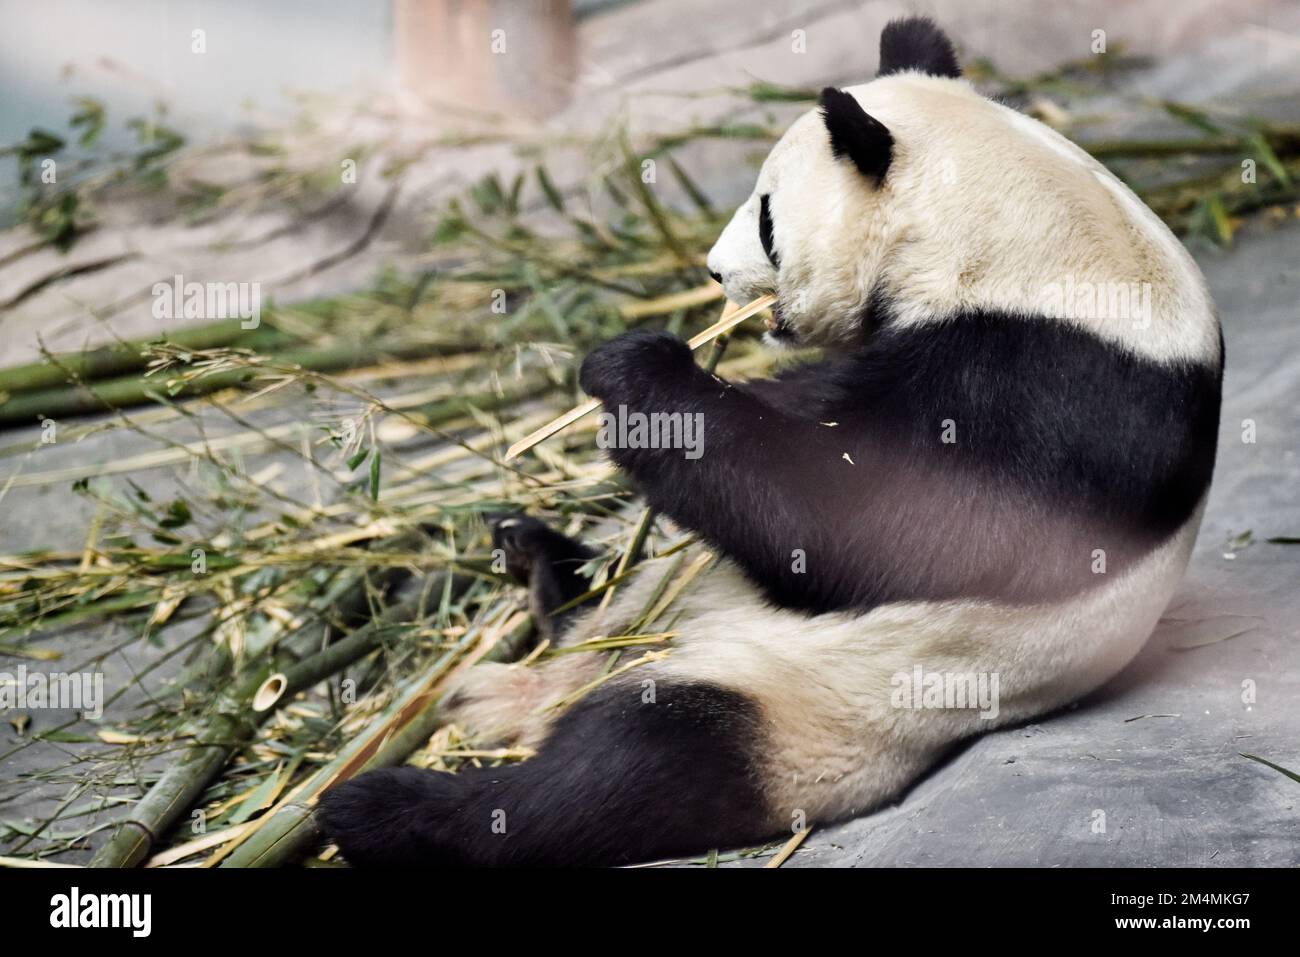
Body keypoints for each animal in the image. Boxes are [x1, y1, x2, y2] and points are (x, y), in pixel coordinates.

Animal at [319, 17, 1222, 867]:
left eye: (764, 215)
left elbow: (849, 519)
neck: (1031, 237)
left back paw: (385, 807)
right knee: (617, 601)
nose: (714, 274)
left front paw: (634, 370)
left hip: (805, 704)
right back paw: (537, 562)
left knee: (629, 766)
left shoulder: (1053, 390)